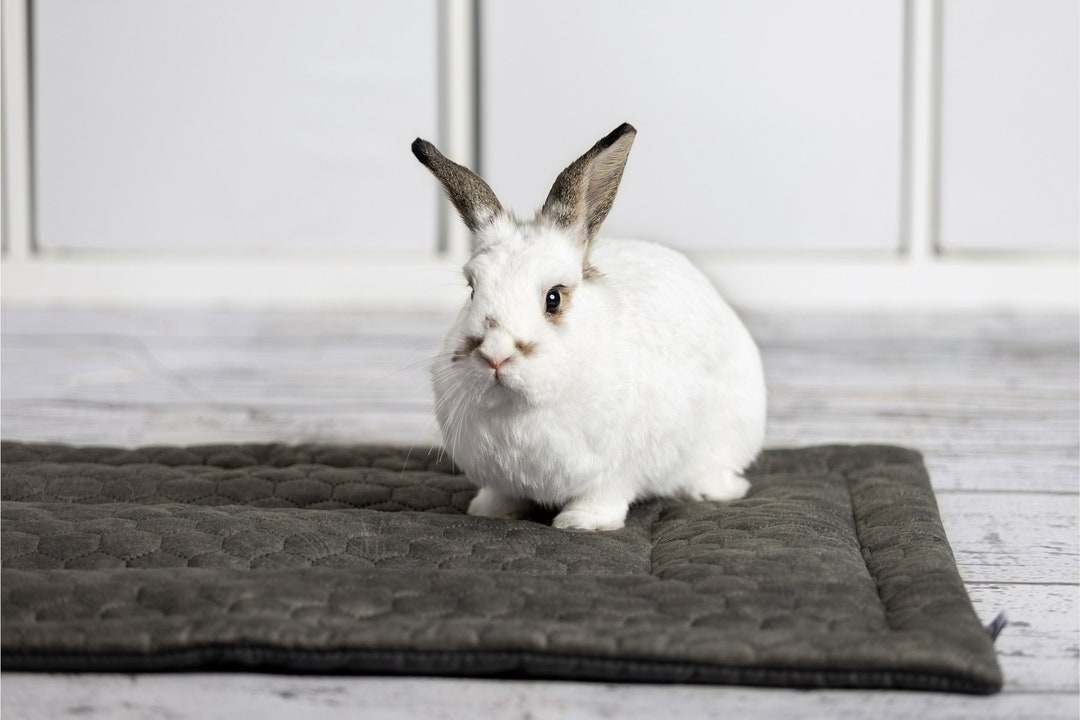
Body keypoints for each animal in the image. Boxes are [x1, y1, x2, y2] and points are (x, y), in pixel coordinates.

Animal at [412, 122, 766, 531]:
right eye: (472, 290)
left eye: (554, 298)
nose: (495, 355)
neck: (520, 409)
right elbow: (503, 495)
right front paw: (489, 511)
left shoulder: (617, 471)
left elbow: (603, 496)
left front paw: (581, 523)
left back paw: (707, 491)